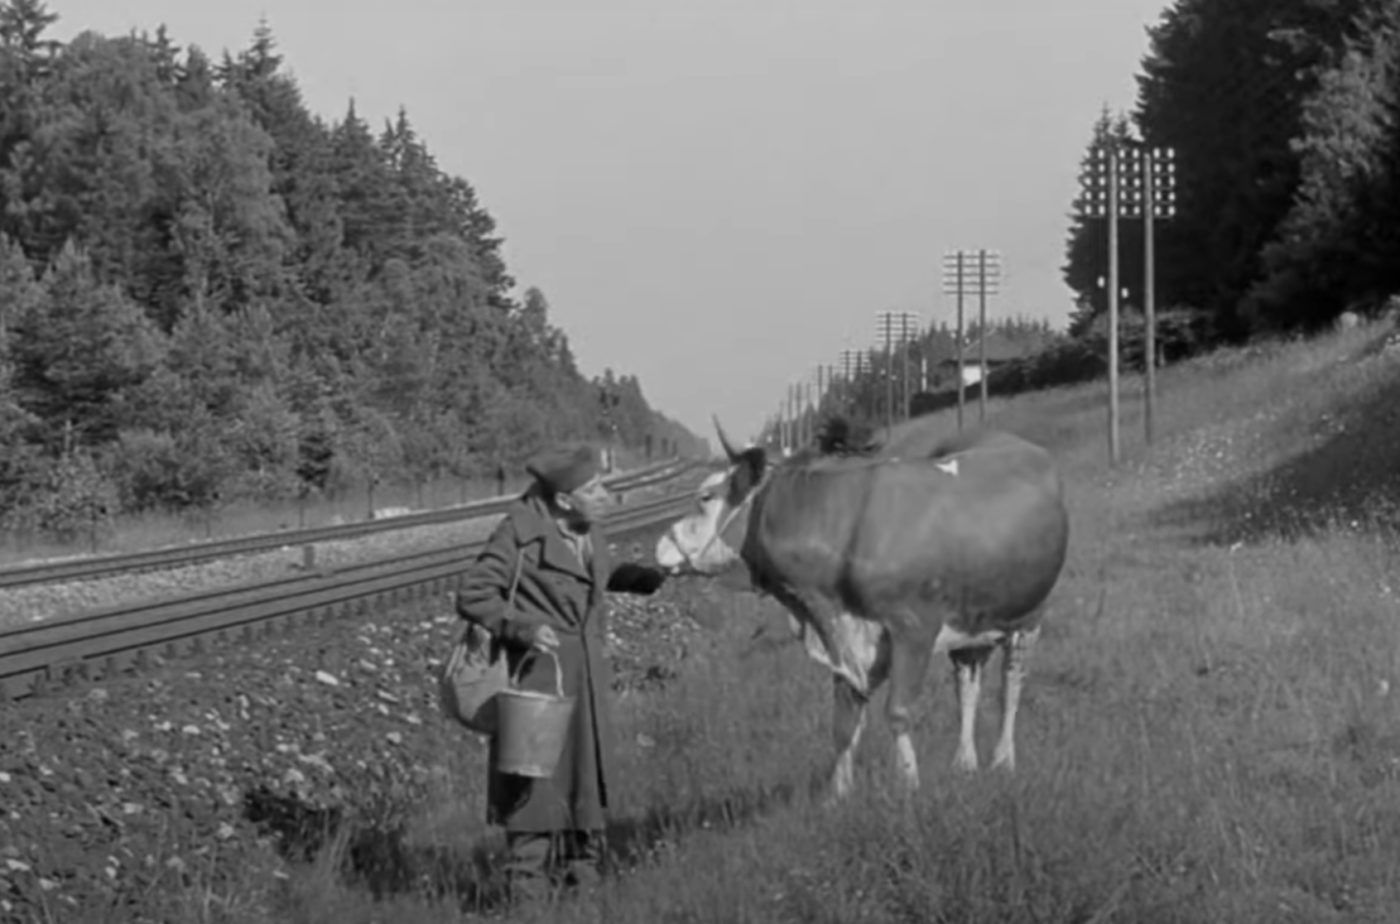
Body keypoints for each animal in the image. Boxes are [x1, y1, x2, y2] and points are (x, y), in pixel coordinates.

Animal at [654, 417, 1070, 799]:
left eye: (705, 497)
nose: (659, 545)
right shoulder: (843, 632)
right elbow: (844, 721)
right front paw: (838, 794)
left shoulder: (913, 629)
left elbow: (898, 712)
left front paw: (908, 784)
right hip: (972, 618)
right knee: (968, 683)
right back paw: (965, 763)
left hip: (1031, 614)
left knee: (1011, 685)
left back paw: (1002, 760)